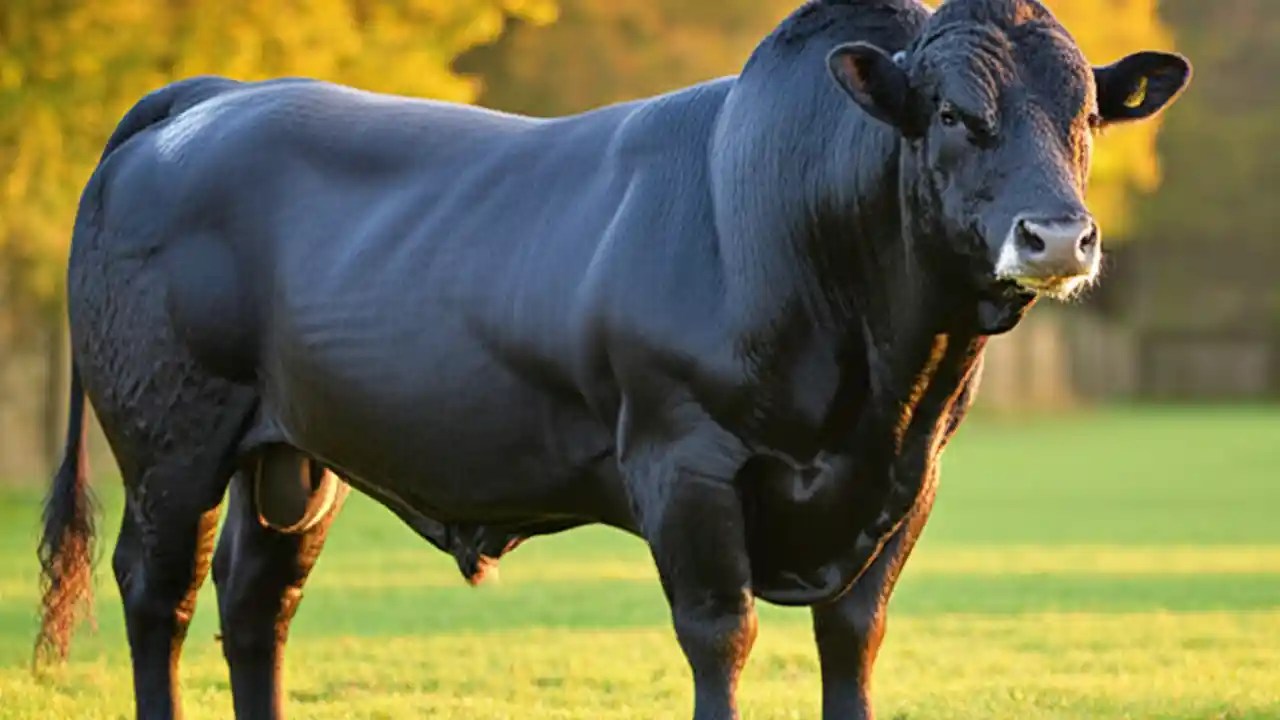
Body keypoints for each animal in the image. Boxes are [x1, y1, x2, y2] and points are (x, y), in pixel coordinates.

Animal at [36, 0, 1190, 718]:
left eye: (1089, 114)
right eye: (952, 113)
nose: (1057, 237)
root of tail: (211, 95)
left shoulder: (905, 489)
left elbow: (851, 642)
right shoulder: (685, 465)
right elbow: (719, 638)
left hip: (295, 451)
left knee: (257, 598)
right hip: (169, 436)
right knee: (158, 591)